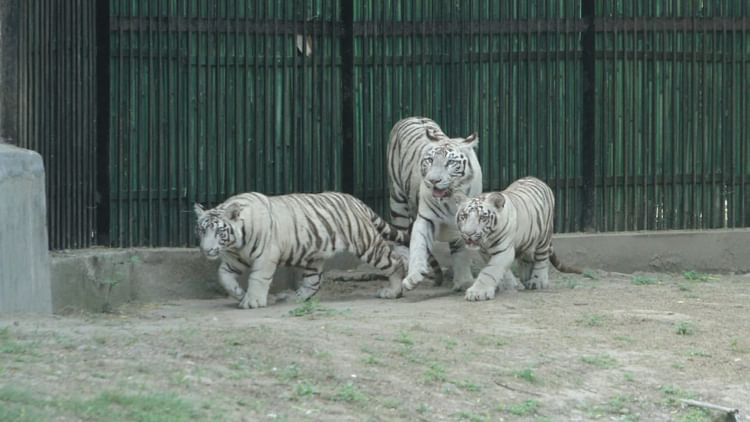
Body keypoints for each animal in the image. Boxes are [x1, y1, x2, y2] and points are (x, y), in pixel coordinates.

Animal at [194, 191, 408, 309]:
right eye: (202, 230)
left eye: (219, 231)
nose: (207, 249)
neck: (236, 245)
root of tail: (355, 200)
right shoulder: (234, 260)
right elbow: (224, 277)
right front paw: (239, 294)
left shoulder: (266, 256)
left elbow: (258, 278)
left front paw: (252, 301)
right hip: (314, 256)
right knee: (313, 282)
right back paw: (291, 298)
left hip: (366, 244)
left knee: (395, 261)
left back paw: (393, 291)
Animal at [387, 117, 483, 293]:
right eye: (430, 160)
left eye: (450, 162)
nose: (433, 180)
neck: (450, 198)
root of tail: (411, 117)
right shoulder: (425, 219)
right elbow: (419, 244)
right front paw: (414, 276)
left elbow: (461, 252)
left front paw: (464, 280)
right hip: (397, 198)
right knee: (400, 235)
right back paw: (404, 263)